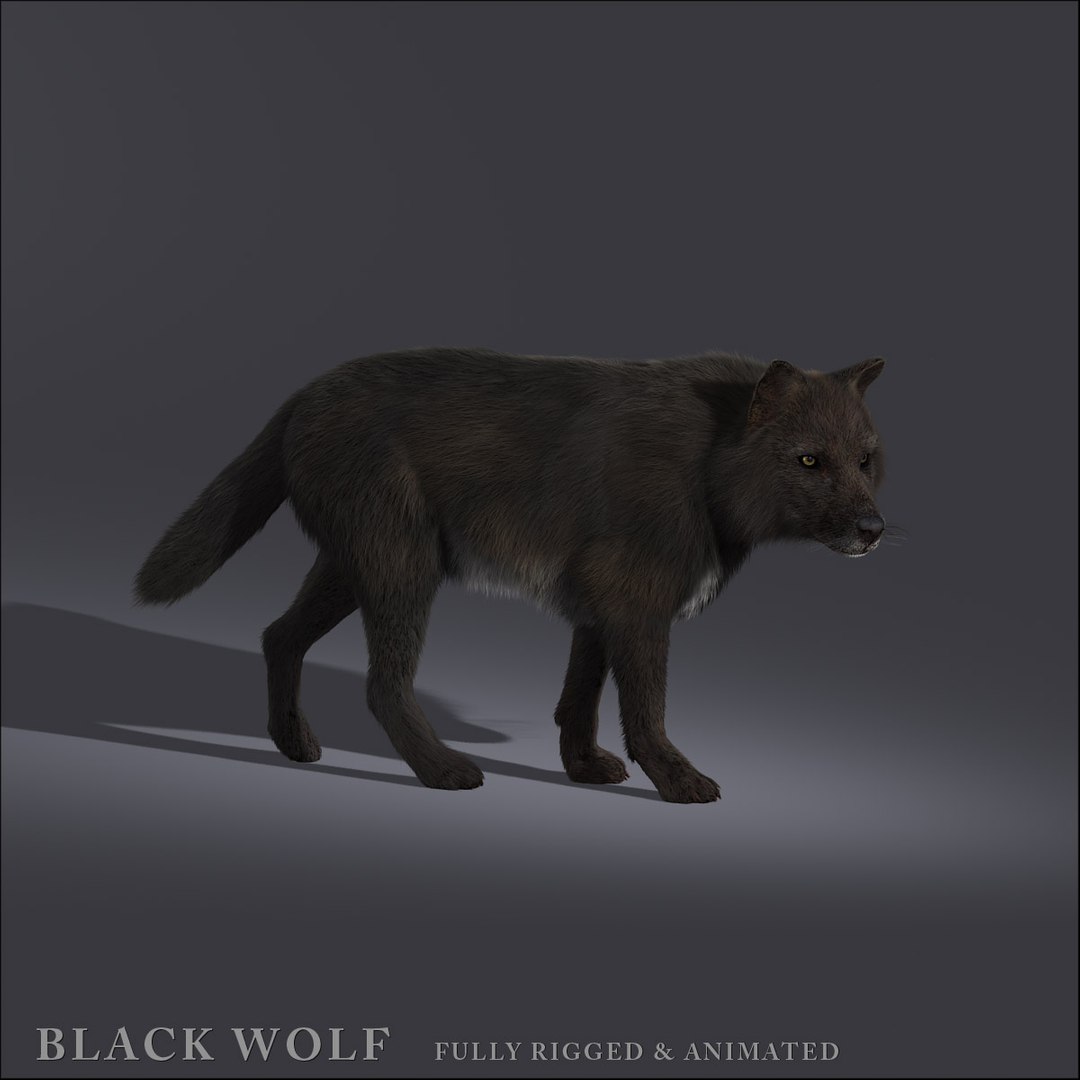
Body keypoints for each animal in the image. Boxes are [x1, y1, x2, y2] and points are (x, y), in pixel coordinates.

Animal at [134, 348, 887, 803]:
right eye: (810, 460)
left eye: (866, 460)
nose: (874, 530)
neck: (708, 457)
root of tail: (303, 393)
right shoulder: (637, 606)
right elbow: (645, 709)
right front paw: (679, 781)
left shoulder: (598, 607)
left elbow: (579, 699)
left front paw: (584, 768)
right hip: (401, 572)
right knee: (381, 684)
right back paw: (442, 771)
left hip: (355, 570)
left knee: (278, 636)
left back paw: (294, 744)